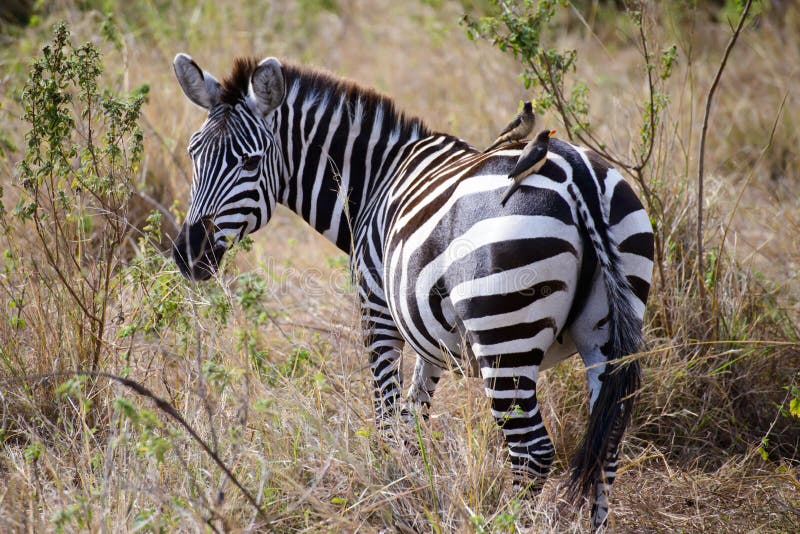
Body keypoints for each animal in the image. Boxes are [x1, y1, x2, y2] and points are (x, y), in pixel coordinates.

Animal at [171, 53, 654, 530]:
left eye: (250, 163)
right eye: (193, 154)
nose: (188, 254)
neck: (375, 180)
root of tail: (579, 176)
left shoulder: (377, 308)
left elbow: (387, 417)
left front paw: (392, 492)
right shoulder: (430, 334)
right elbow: (413, 416)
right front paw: (415, 489)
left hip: (503, 333)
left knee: (531, 452)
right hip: (607, 334)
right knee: (606, 448)